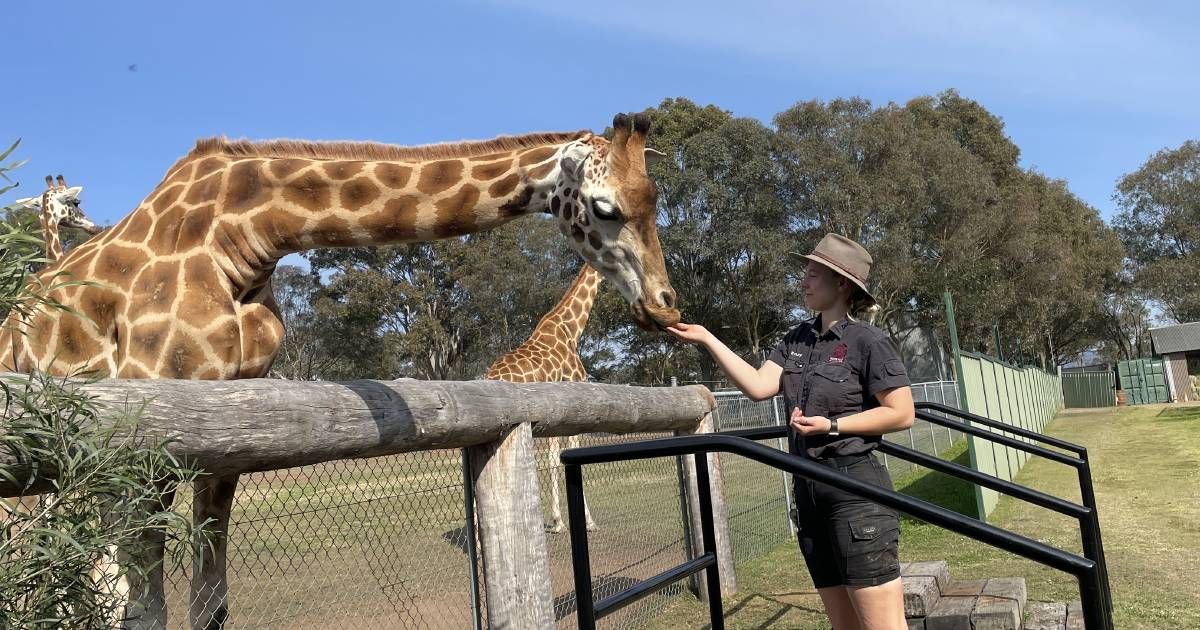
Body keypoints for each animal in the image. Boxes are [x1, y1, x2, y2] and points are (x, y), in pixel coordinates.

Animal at [485, 263, 602, 533]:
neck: (571, 330)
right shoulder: (572, 406)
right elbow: (559, 459)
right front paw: (580, 522)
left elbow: (551, 460)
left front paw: (557, 521)